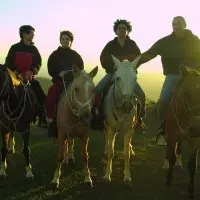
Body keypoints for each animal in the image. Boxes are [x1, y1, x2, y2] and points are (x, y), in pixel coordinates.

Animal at [102, 55, 141, 186]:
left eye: (135, 78)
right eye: (117, 78)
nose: (128, 106)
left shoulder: (129, 129)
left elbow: (126, 153)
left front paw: (127, 177)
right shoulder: (110, 128)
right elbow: (111, 151)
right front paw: (107, 175)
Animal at [163, 66, 200, 199]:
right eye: (187, 94)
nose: (196, 130)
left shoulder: (195, 142)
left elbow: (192, 166)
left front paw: (191, 191)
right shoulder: (172, 135)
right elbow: (172, 157)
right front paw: (169, 179)